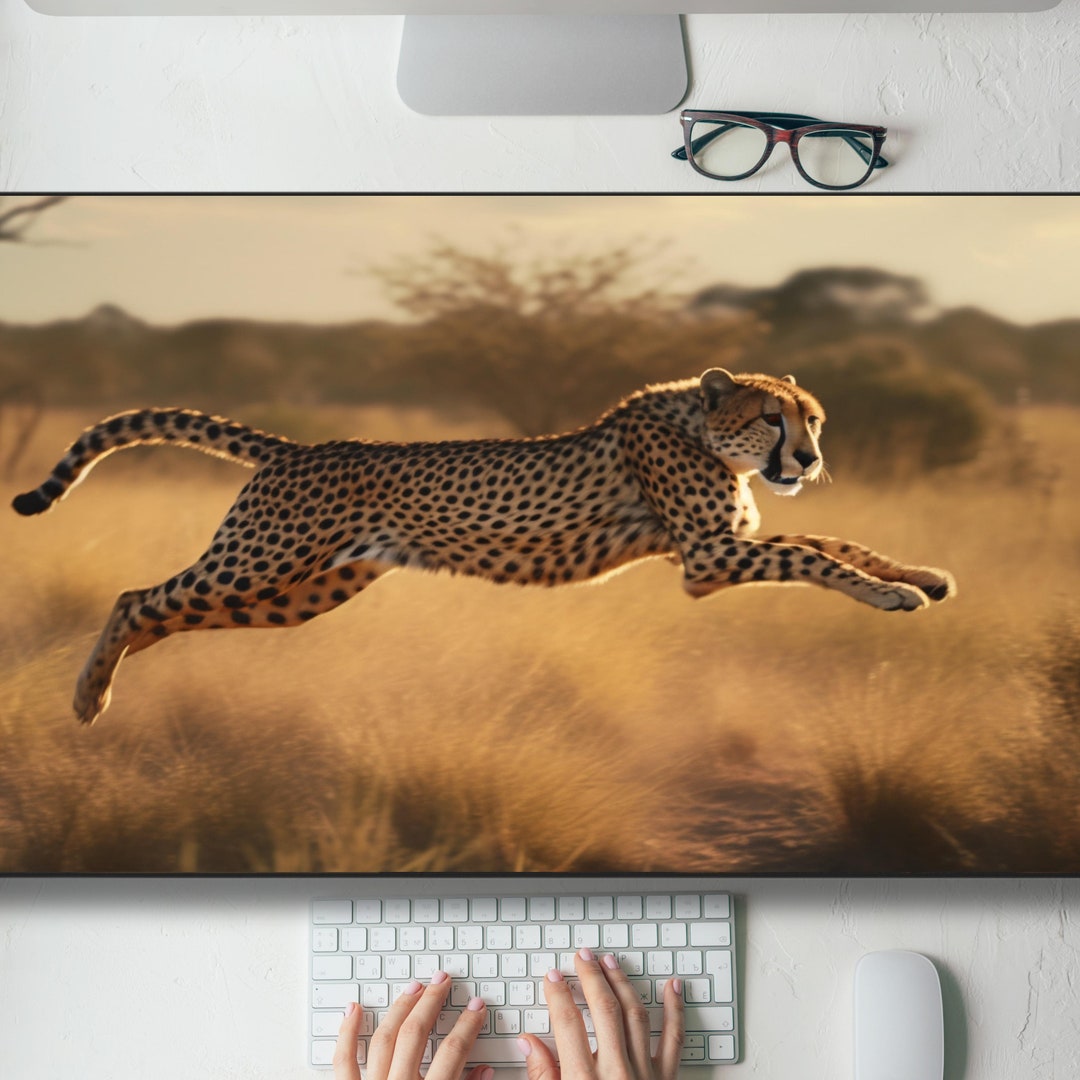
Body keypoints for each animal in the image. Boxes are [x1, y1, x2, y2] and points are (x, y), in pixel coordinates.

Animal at [12, 368, 956, 725]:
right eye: (772, 418)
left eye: (814, 419)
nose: (811, 458)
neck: (700, 423)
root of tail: (299, 448)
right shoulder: (707, 562)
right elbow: (815, 555)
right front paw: (894, 594)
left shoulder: (723, 547)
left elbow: (833, 537)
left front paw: (921, 576)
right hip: (259, 562)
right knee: (137, 597)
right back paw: (87, 698)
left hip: (296, 593)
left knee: (158, 614)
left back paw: (103, 690)